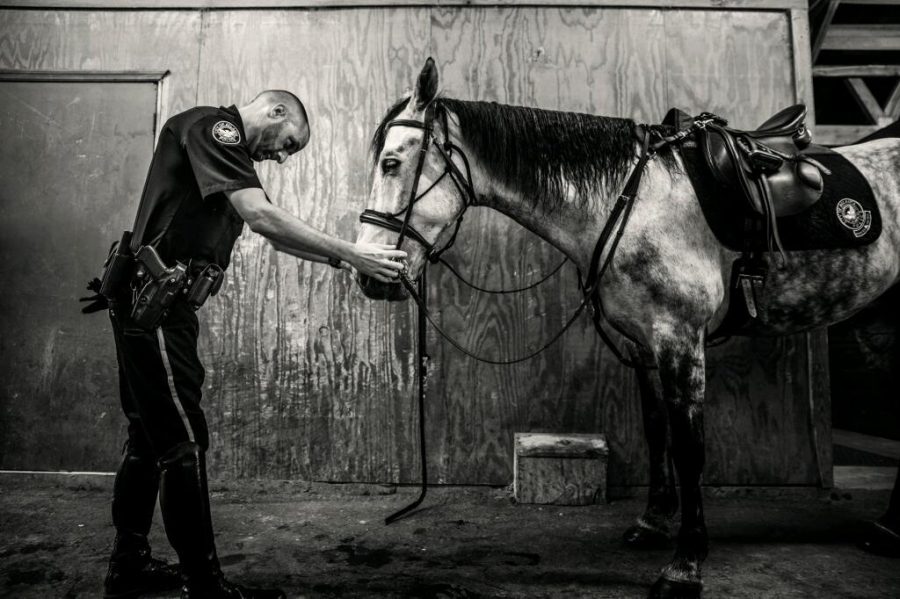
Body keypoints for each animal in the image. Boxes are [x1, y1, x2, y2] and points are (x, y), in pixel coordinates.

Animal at [354, 58, 900, 598]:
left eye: (391, 163)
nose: (369, 275)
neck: (633, 205)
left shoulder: (680, 341)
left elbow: (689, 448)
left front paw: (685, 564)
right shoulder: (644, 346)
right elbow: (656, 431)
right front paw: (654, 522)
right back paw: (886, 529)